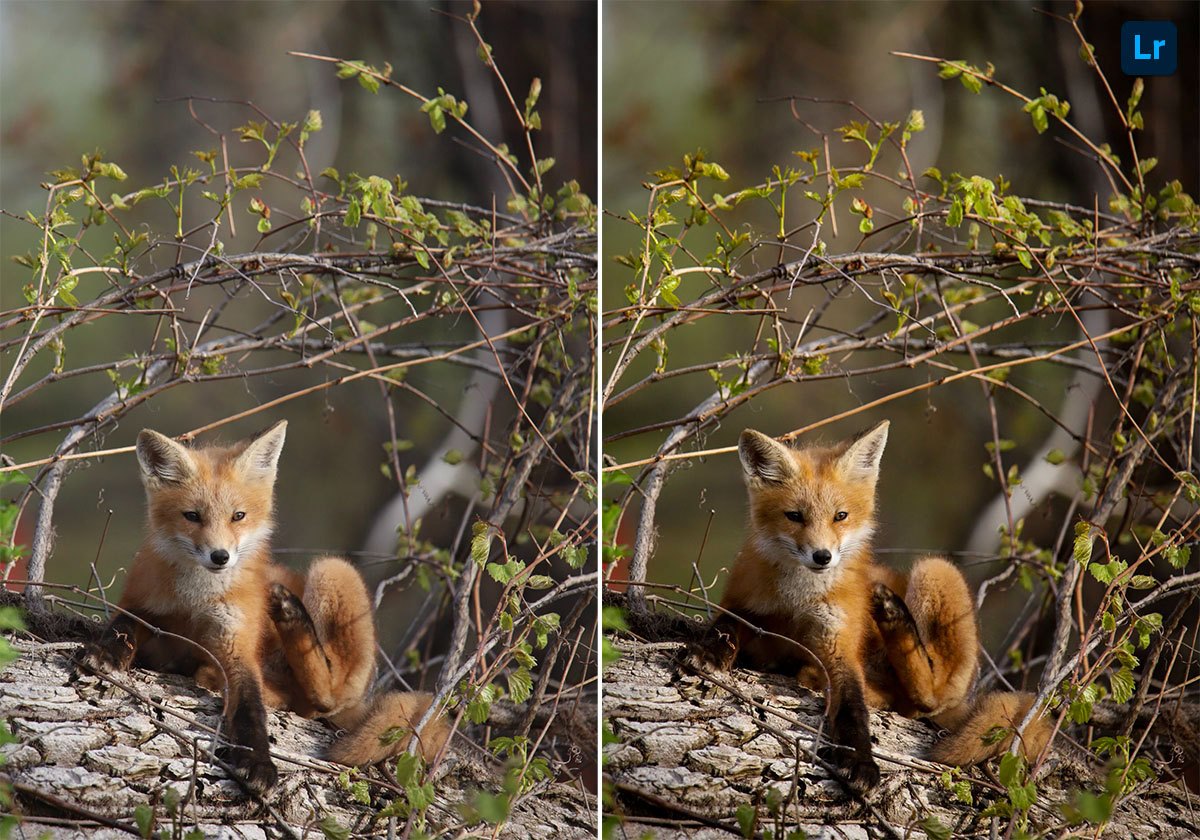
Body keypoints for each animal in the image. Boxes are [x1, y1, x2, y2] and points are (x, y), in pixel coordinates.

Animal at [78, 420, 450, 794]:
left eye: (238, 516)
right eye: (192, 516)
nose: (220, 556)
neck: (197, 599)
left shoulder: (237, 641)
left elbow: (249, 706)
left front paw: (257, 762)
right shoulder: (142, 602)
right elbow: (123, 625)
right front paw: (106, 653)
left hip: (332, 570)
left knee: (323, 699)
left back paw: (289, 616)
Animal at [689, 420, 1049, 793]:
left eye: (840, 516)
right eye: (795, 516)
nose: (822, 556)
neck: (798, 599)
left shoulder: (839, 641)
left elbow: (852, 706)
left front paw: (860, 761)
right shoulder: (744, 604)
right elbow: (725, 627)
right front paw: (710, 653)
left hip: (935, 570)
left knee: (925, 699)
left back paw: (893, 617)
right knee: (898, 699)